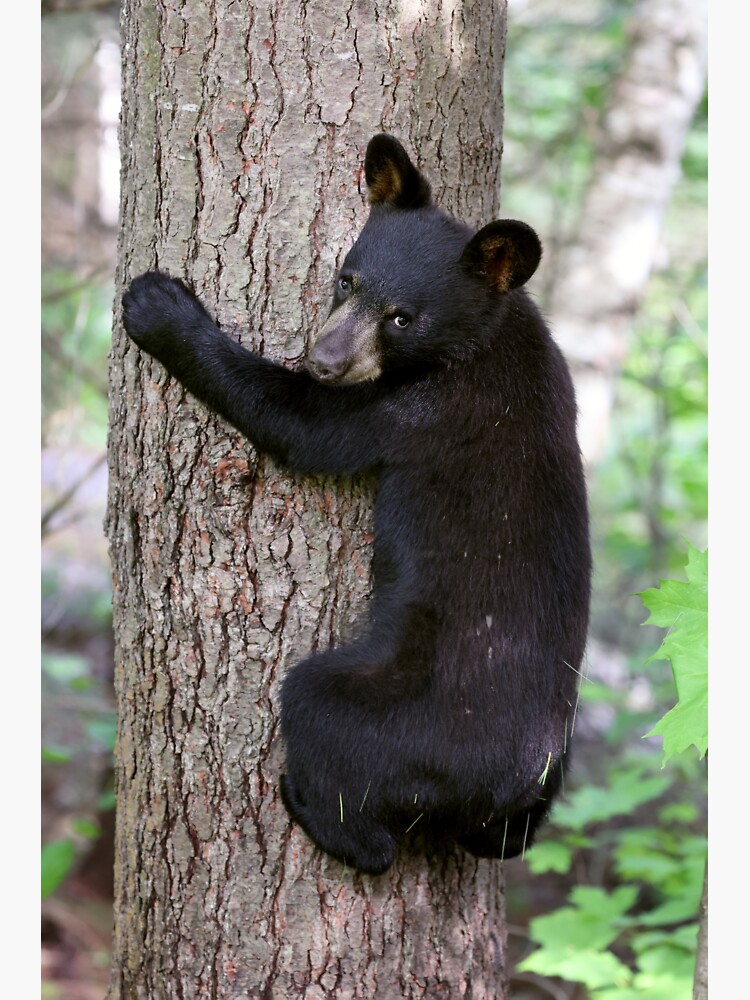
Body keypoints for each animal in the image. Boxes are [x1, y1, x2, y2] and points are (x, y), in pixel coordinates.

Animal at [122, 133, 591, 876]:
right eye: (348, 280)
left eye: (402, 317)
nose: (325, 358)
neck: (484, 336)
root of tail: (500, 791)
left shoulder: (417, 408)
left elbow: (300, 423)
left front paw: (160, 306)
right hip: (555, 766)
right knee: (512, 841)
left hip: (393, 719)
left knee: (343, 769)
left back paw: (308, 807)